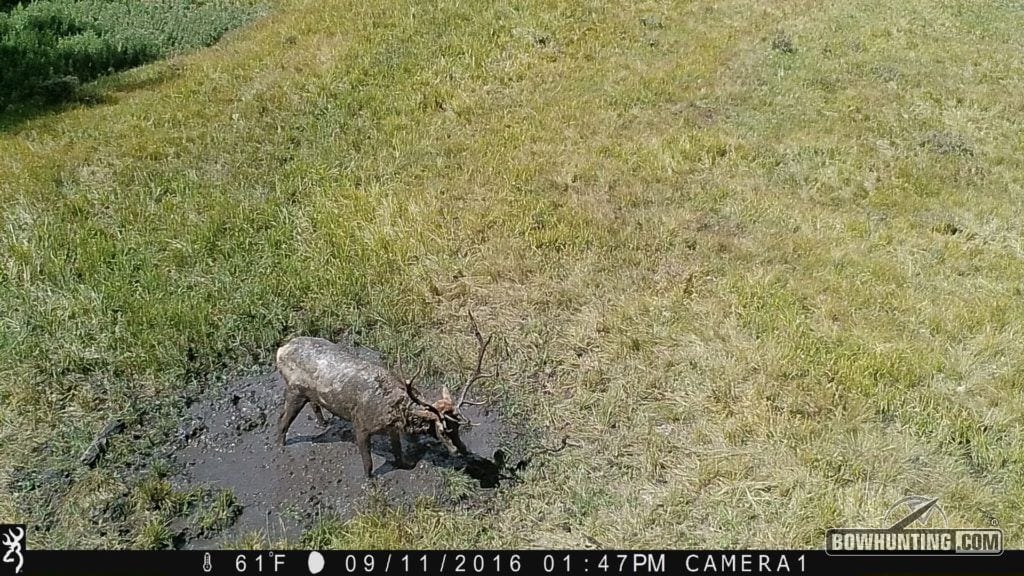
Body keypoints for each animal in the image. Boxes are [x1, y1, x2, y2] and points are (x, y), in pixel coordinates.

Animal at [275, 313, 497, 478]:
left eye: (458, 426)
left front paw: (406, 464)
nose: (461, 450)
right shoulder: (360, 425)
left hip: (307, 393)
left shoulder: (392, 429)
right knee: (282, 420)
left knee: (314, 404)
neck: (397, 411)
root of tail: (280, 349)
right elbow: (368, 463)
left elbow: (398, 453)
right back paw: (280, 445)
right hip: (294, 390)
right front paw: (371, 481)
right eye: (442, 430)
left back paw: (322, 424)